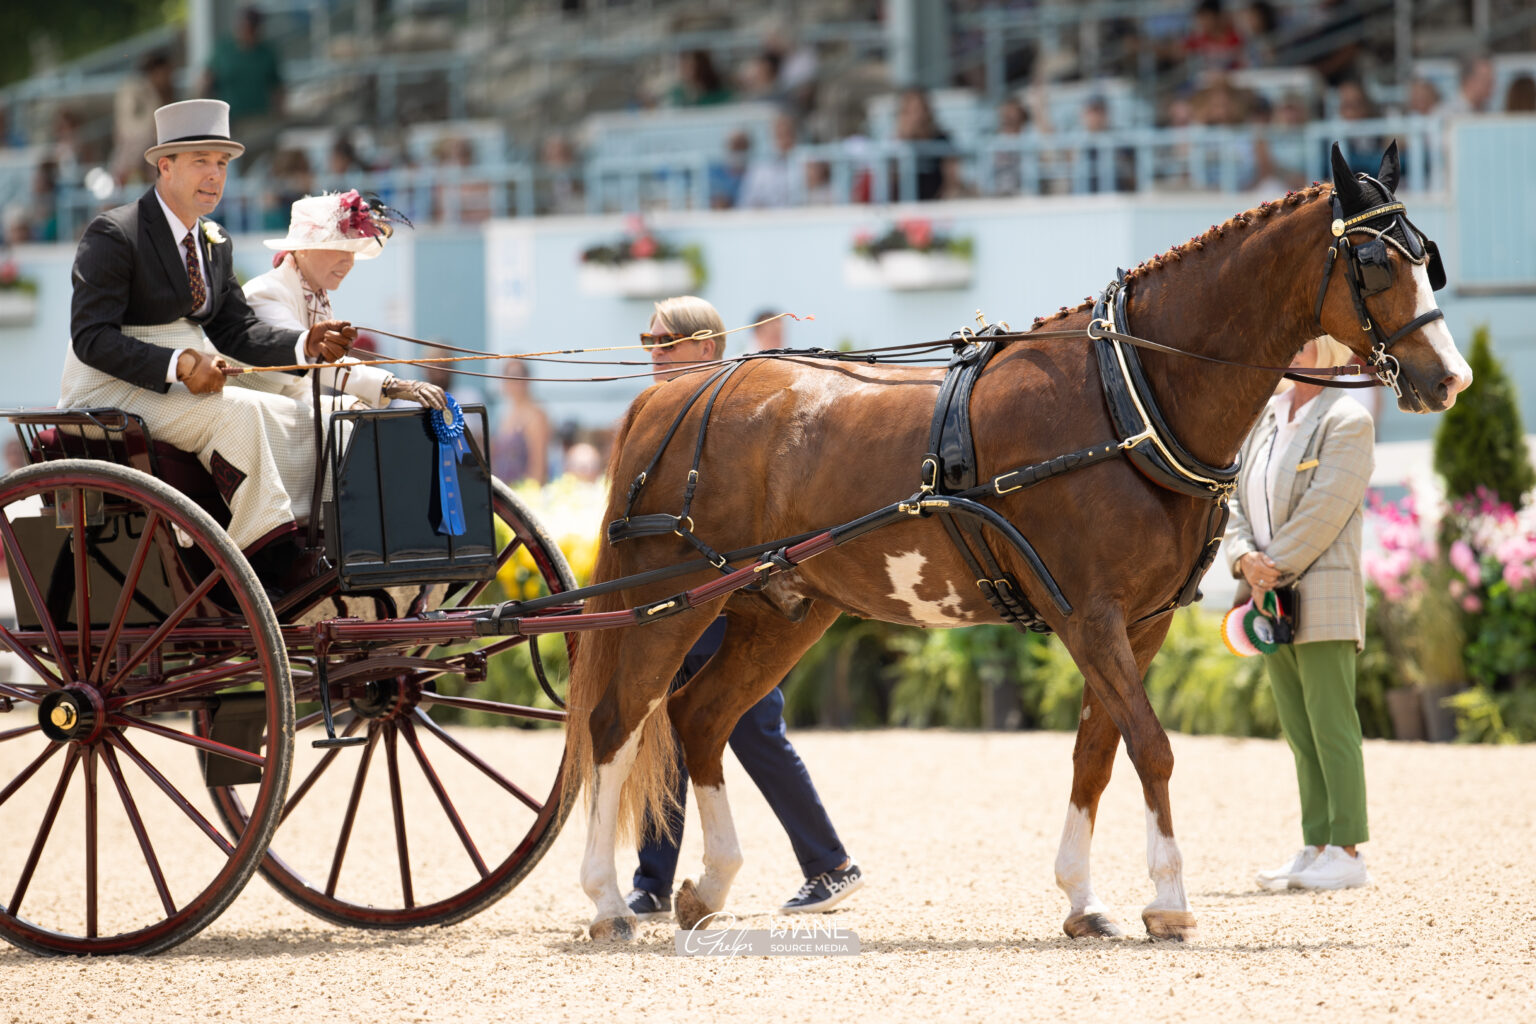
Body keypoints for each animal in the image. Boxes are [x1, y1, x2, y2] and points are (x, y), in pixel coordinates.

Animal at [563, 142, 1472, 942]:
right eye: (1375, 263)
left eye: (1427, 257)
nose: (1451, 379)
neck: (1124, 400)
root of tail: (678, 390)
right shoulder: (1089, 614)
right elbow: (1151, 748)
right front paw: (1169, 901)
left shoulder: (1142, 624)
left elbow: (1095, 755)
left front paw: (1085, 900)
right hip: (666, 602)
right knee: (617, 725)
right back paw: (607, 902)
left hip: (780, 609)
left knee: (700, 717)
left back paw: (708, 886)